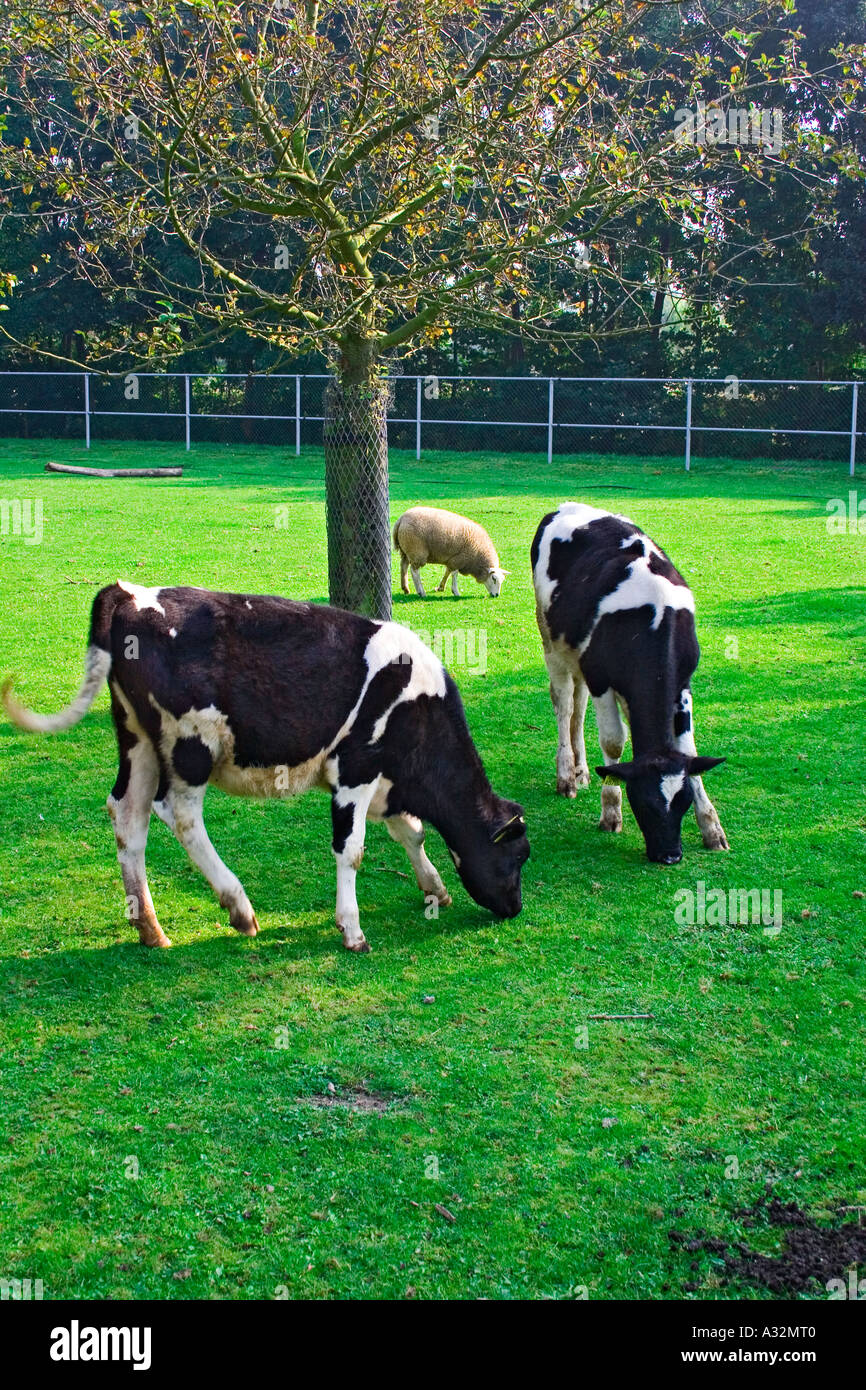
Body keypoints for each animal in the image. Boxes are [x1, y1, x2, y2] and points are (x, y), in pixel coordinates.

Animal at [2, 582, 529, 952]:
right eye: (518, 856)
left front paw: (435, 889)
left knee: (128, 817)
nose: (515, 908)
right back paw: (238, 906)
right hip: (191, 746)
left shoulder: (385, 781)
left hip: (138, 741)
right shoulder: (355, 771)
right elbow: (352, 850)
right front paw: (352, 929)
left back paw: (150, 929)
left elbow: (412, 833)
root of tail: (129, 592)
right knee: (179, 815)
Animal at [531, 504, 728, 864]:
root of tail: (567, 506)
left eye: (682, 801)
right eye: (644, 803)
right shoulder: (601, 679)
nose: (670, 856)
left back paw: (581, 771)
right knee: (565, 704)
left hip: (579, 656)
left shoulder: (683, 684)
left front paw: (711, 827)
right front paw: (611, 811)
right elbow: (613, 743)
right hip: (552, 641)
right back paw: (566, 775)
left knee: (578, 708)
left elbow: (689, 751)